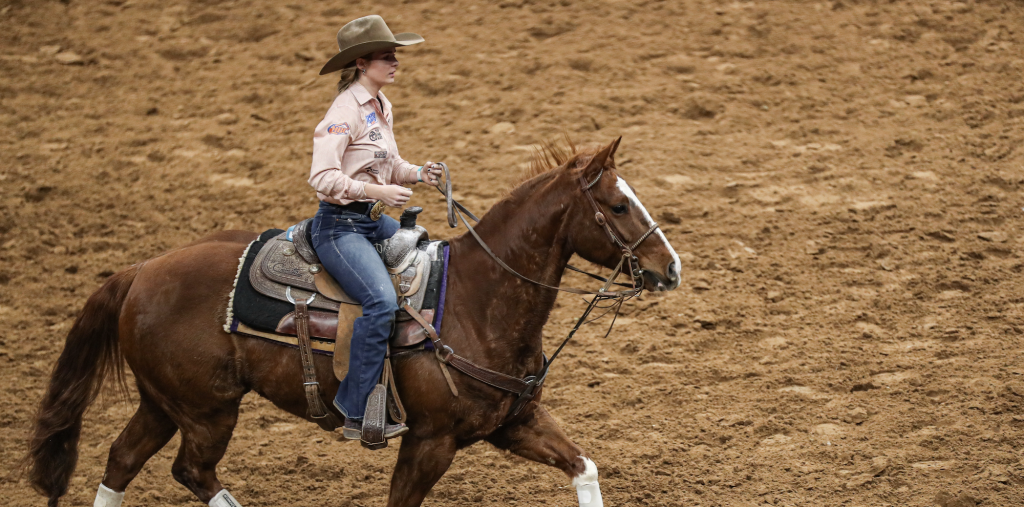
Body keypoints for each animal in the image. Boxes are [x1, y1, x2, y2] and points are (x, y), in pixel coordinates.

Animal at [27, 136, 681, 507]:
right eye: (618, 205)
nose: (670, 268)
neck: (475, 301)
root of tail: (139, 270)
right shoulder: (428, 442)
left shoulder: (515, 423)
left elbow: (584, 468)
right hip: (207, 411)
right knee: (191, 470)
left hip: (165, 402)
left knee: (121, 461)